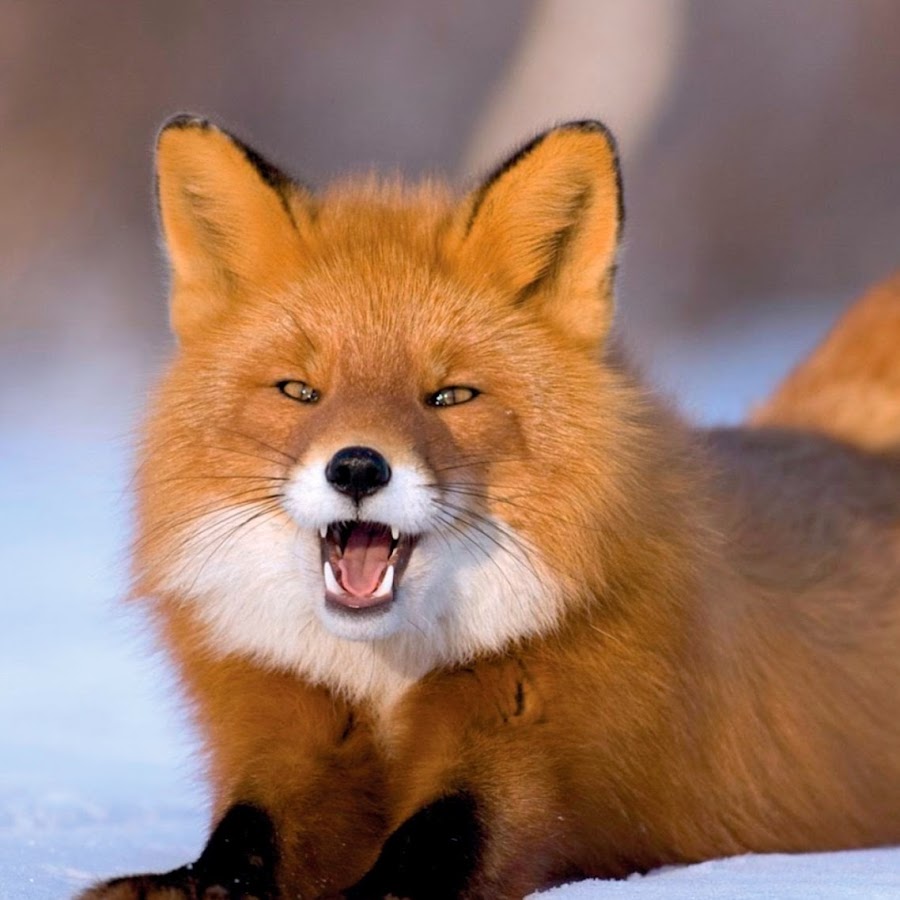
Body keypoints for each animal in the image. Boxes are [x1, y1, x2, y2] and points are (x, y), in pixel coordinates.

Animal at [80, 115, 900, 900]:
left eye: (449, 395)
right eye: (299, 391)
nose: (356, 466)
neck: (385, 677)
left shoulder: (538, 747)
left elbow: (445, 838)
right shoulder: (288, 725)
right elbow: (251, 832)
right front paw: (184, 883)